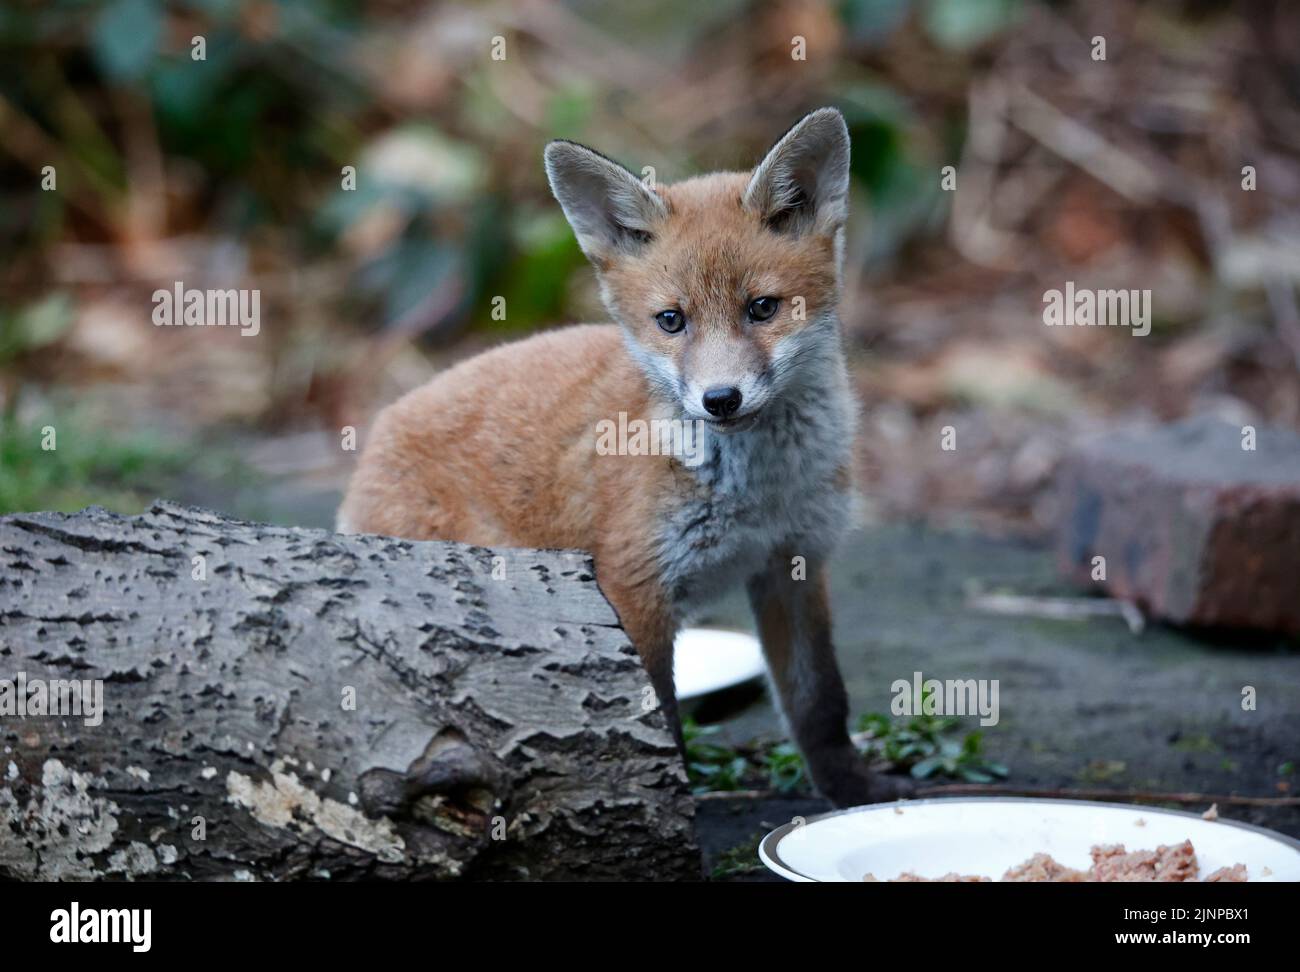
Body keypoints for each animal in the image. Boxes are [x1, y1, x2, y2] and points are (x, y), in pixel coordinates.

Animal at [338, 108, 902, 807]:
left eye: (763, 308)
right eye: (671, 320)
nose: (720, 399)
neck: (757, 493)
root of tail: (377, 434)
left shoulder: (791, 563)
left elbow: (819, 702)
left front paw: (858, 797)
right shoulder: (634, 588)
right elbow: (659, 723)